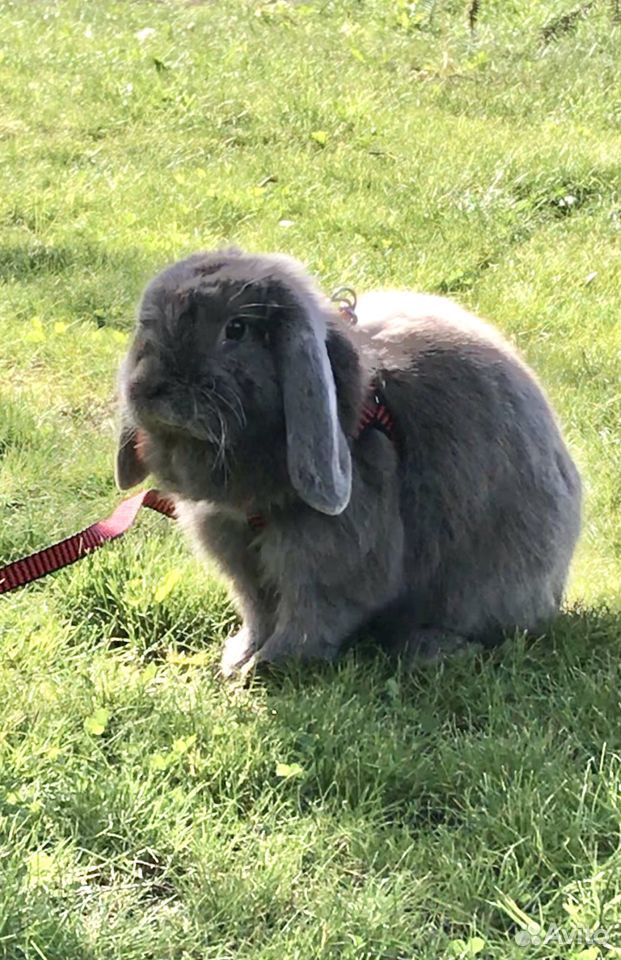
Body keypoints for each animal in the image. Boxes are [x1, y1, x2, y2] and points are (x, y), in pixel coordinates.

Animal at [115, 247, 582, 675]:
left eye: (236, 329)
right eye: (146, 327)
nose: (151, 389)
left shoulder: (327, 558)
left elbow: (310, 615)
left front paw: (266, 666)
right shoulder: (240, 556)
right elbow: (258, 609)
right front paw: (239, 658)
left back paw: (431, 648)